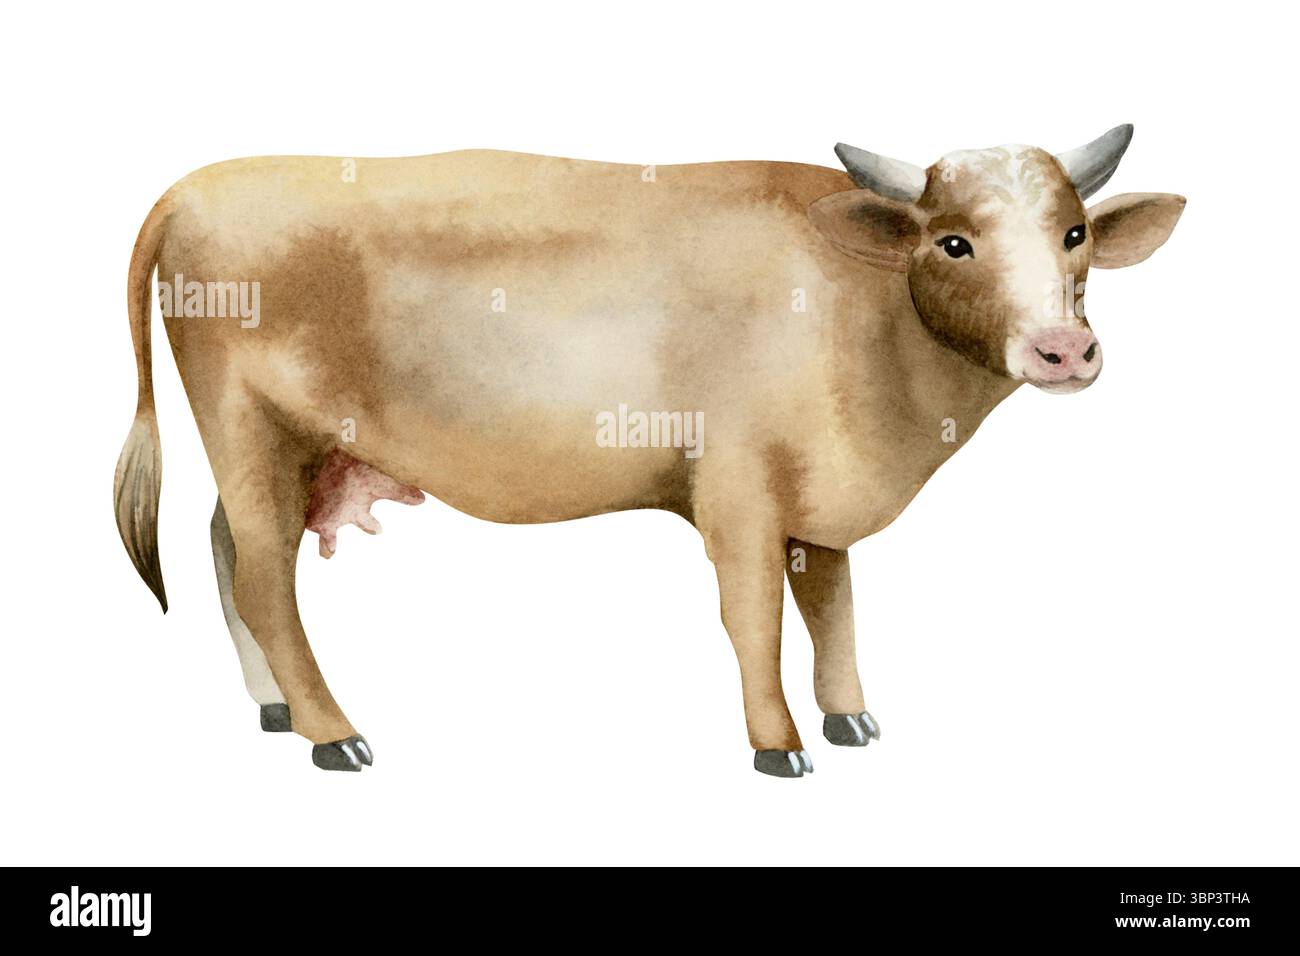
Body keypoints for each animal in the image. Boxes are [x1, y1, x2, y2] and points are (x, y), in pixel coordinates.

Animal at [114, 125, 1184, 775]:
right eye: (954, 242)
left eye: (1075, 234)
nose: (1065, 348)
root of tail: (195, 187)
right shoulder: (740, 494)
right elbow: (756, 621)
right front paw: (776, 743)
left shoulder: (819, 500)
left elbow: (834, 611)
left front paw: (850, 718)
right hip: (250, 428)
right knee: (264, 577)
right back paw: (333, 732)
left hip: (279, 453)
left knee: (225, 550)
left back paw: (276, 708)